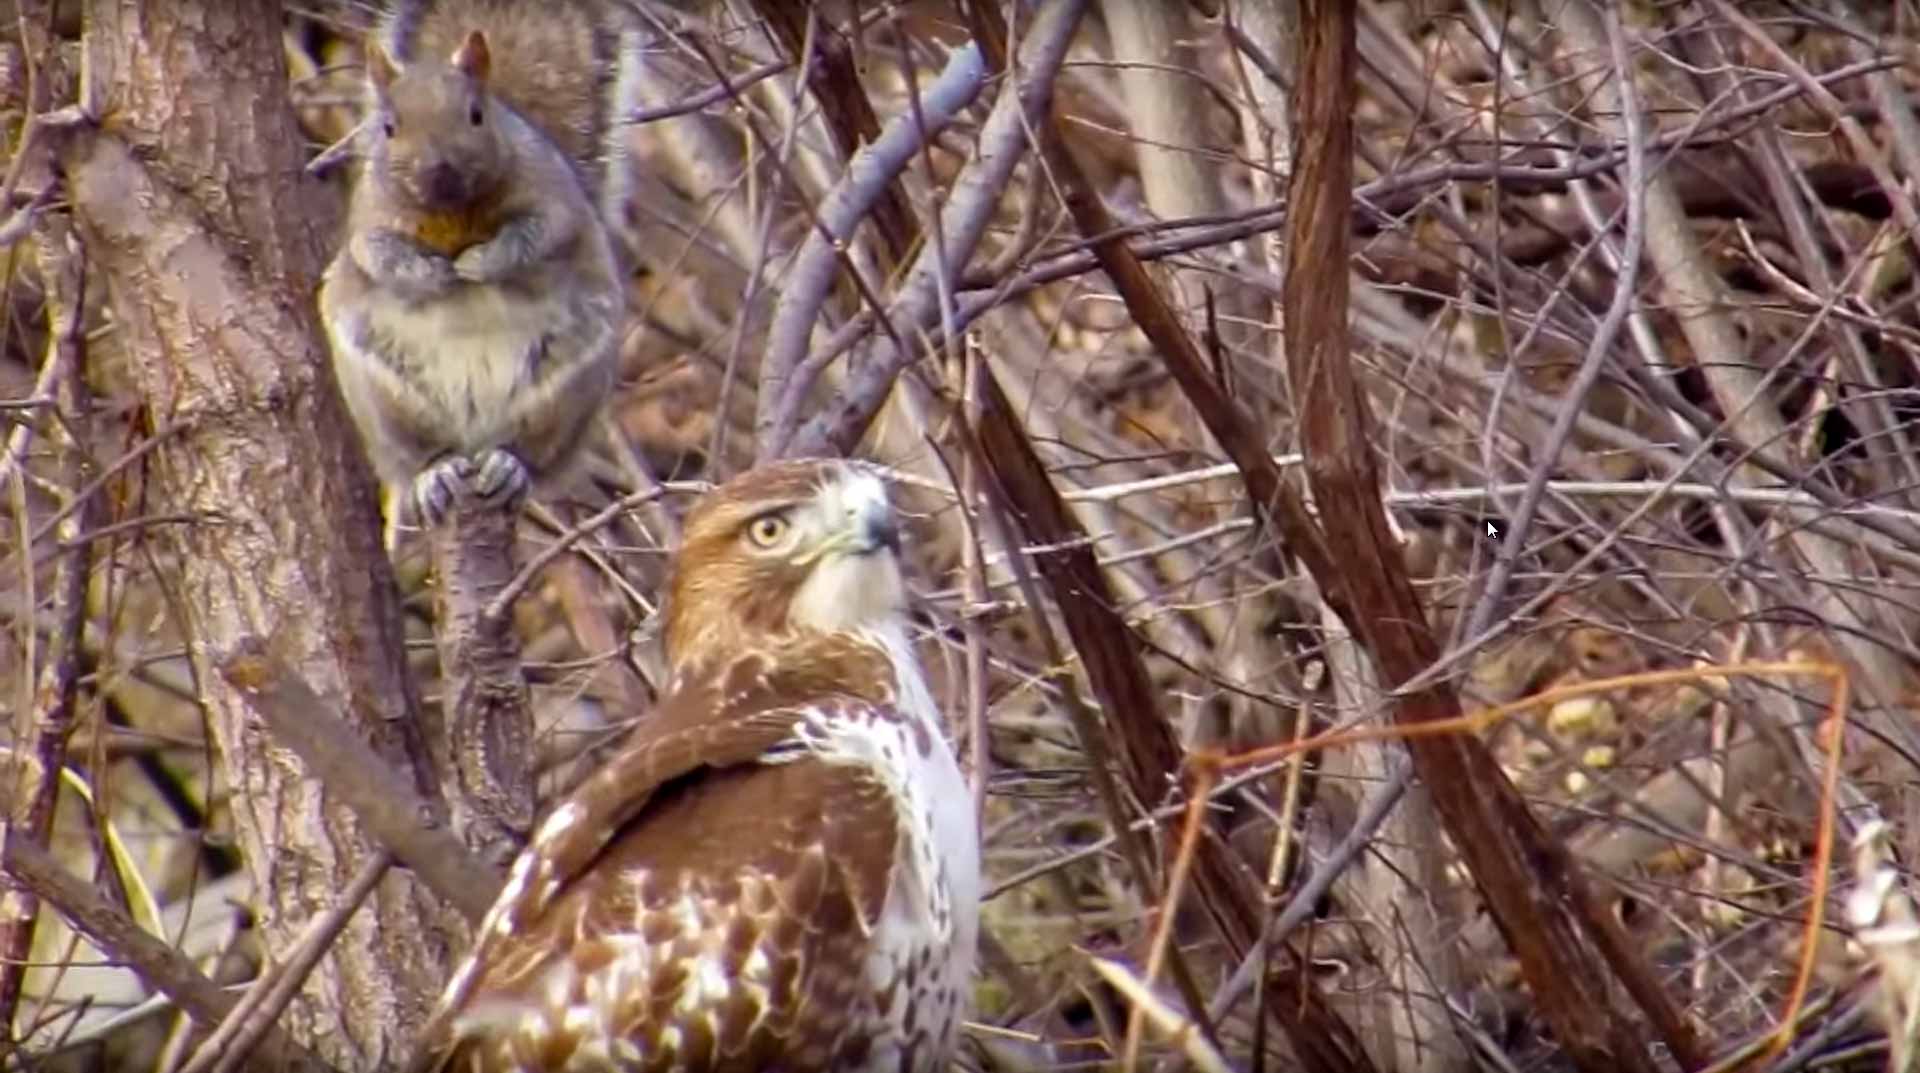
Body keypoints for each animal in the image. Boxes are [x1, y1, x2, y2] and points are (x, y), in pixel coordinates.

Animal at [318, 0, 644, 529]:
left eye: (476, 115)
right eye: (389, 127)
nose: (440, 171)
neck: (453, 212)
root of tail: (475, 442)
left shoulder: (553, 199)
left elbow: (535, 236)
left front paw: (478, 264)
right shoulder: (367, 222)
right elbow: (380, 255)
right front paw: (433, 274)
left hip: (565, 396)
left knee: (531, 451)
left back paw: (510, 466)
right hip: (388, 403)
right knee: (419, 454)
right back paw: (436, 473)